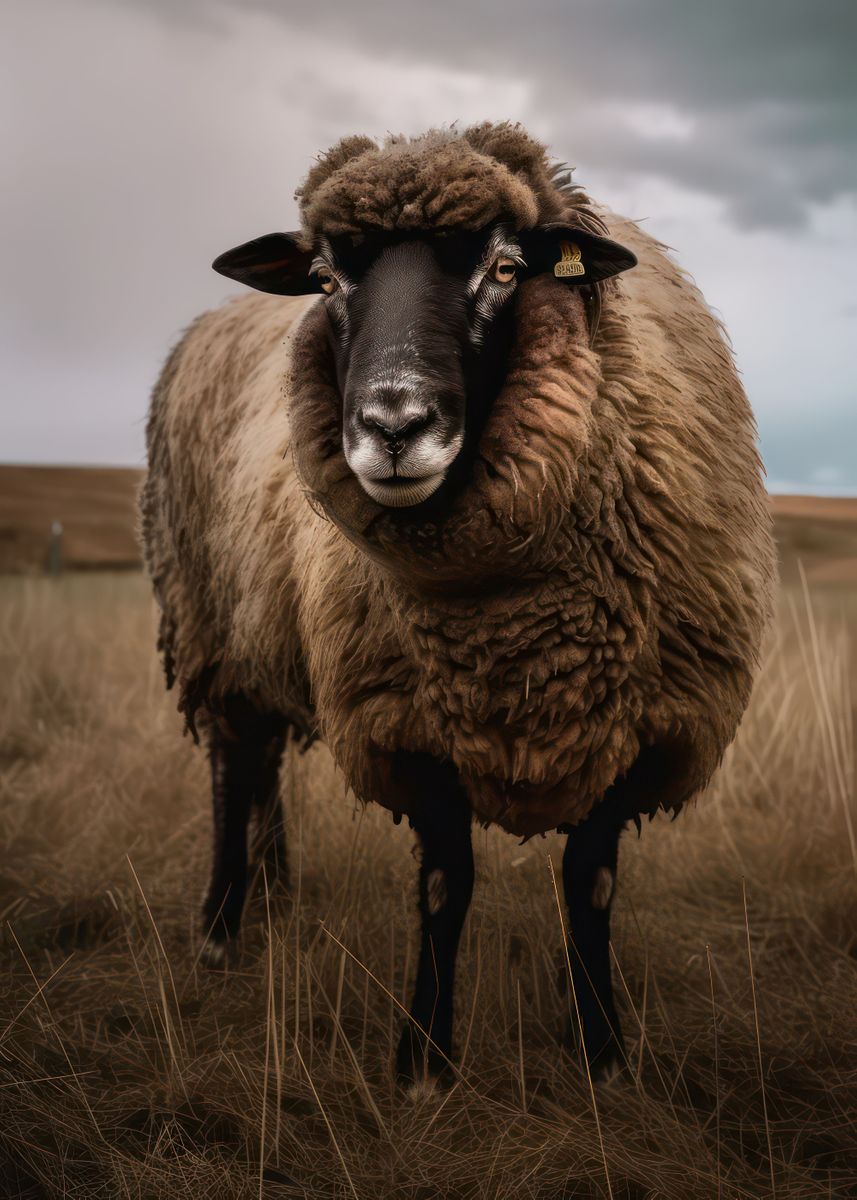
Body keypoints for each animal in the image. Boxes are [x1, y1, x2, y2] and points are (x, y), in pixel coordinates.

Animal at [140, 123, 776, 1087]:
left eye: (506, 268)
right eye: (325, 279)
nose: (392, 426)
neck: (516, 636)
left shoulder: (639, 724)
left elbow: (589, 886)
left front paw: (603, 1055)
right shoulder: (408, 721)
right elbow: (446, 886)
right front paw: (424, 1063)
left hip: (265, 631)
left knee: (267, 764)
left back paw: (278, 887)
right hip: (207, 622)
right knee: (232, 765)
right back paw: (220, 927)